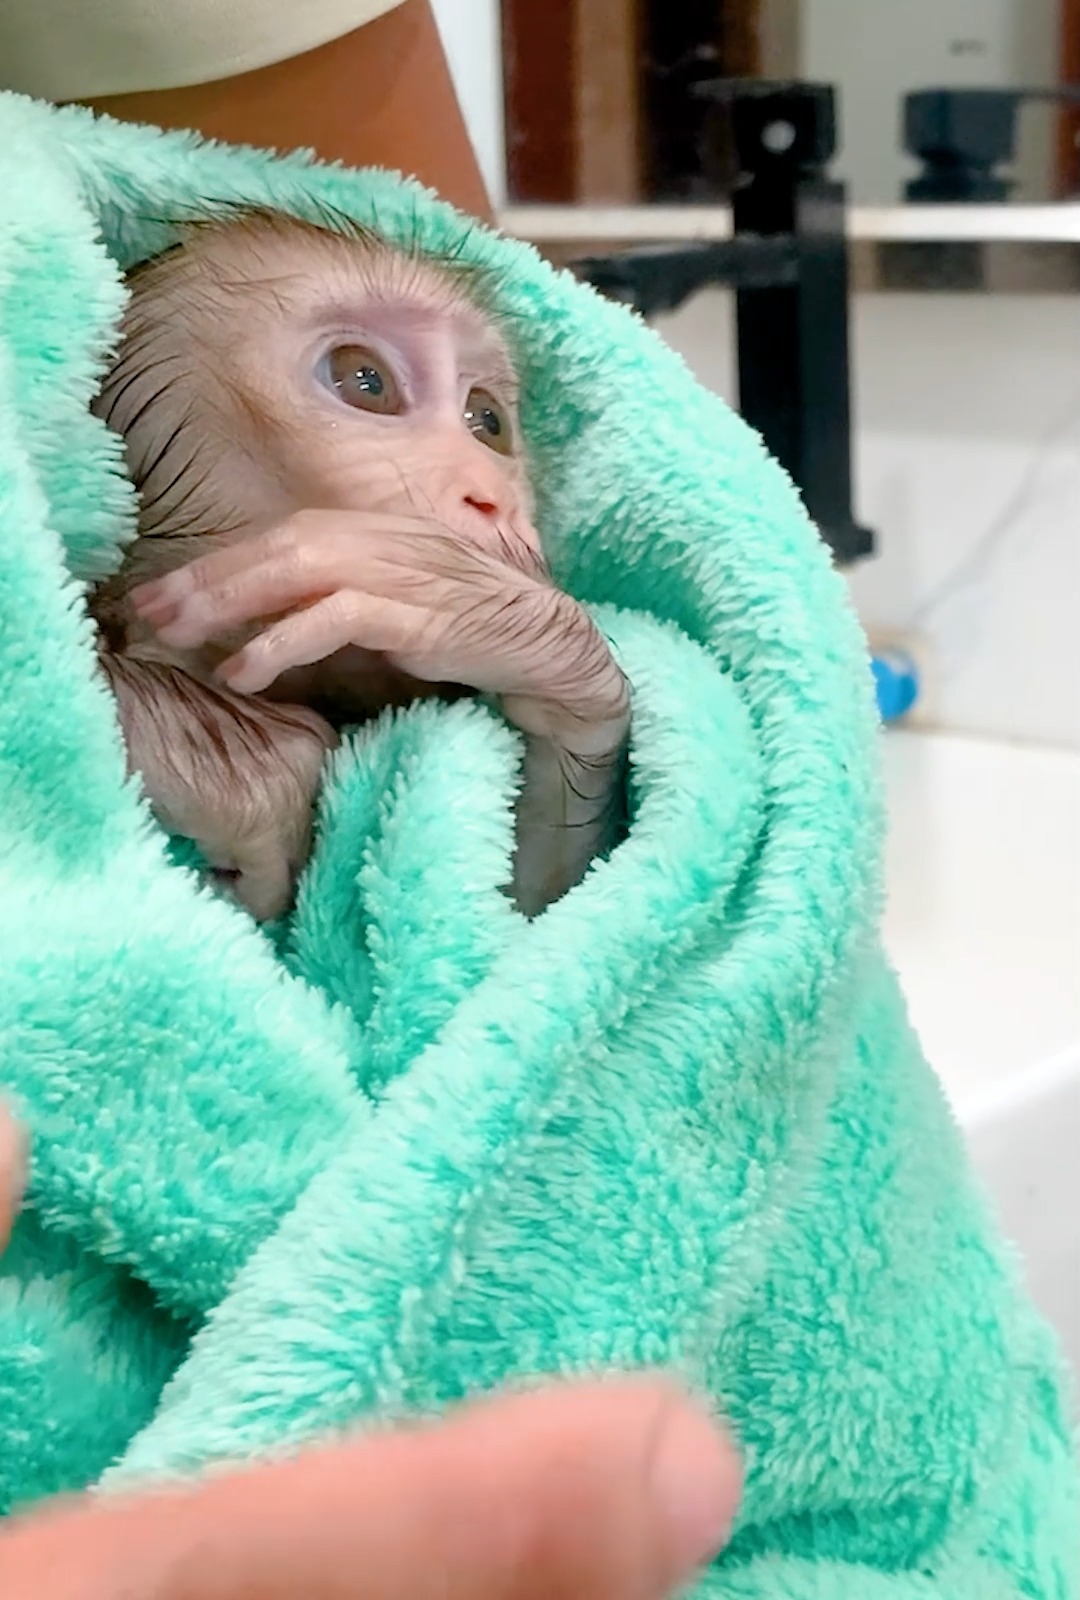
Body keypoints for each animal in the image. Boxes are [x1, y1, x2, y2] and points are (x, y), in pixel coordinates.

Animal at [89, 209, 630, 922]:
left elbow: (532, 915)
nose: (495, 497)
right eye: (364, 379)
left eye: (488, 421)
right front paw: (246, 767)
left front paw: (494, 615)